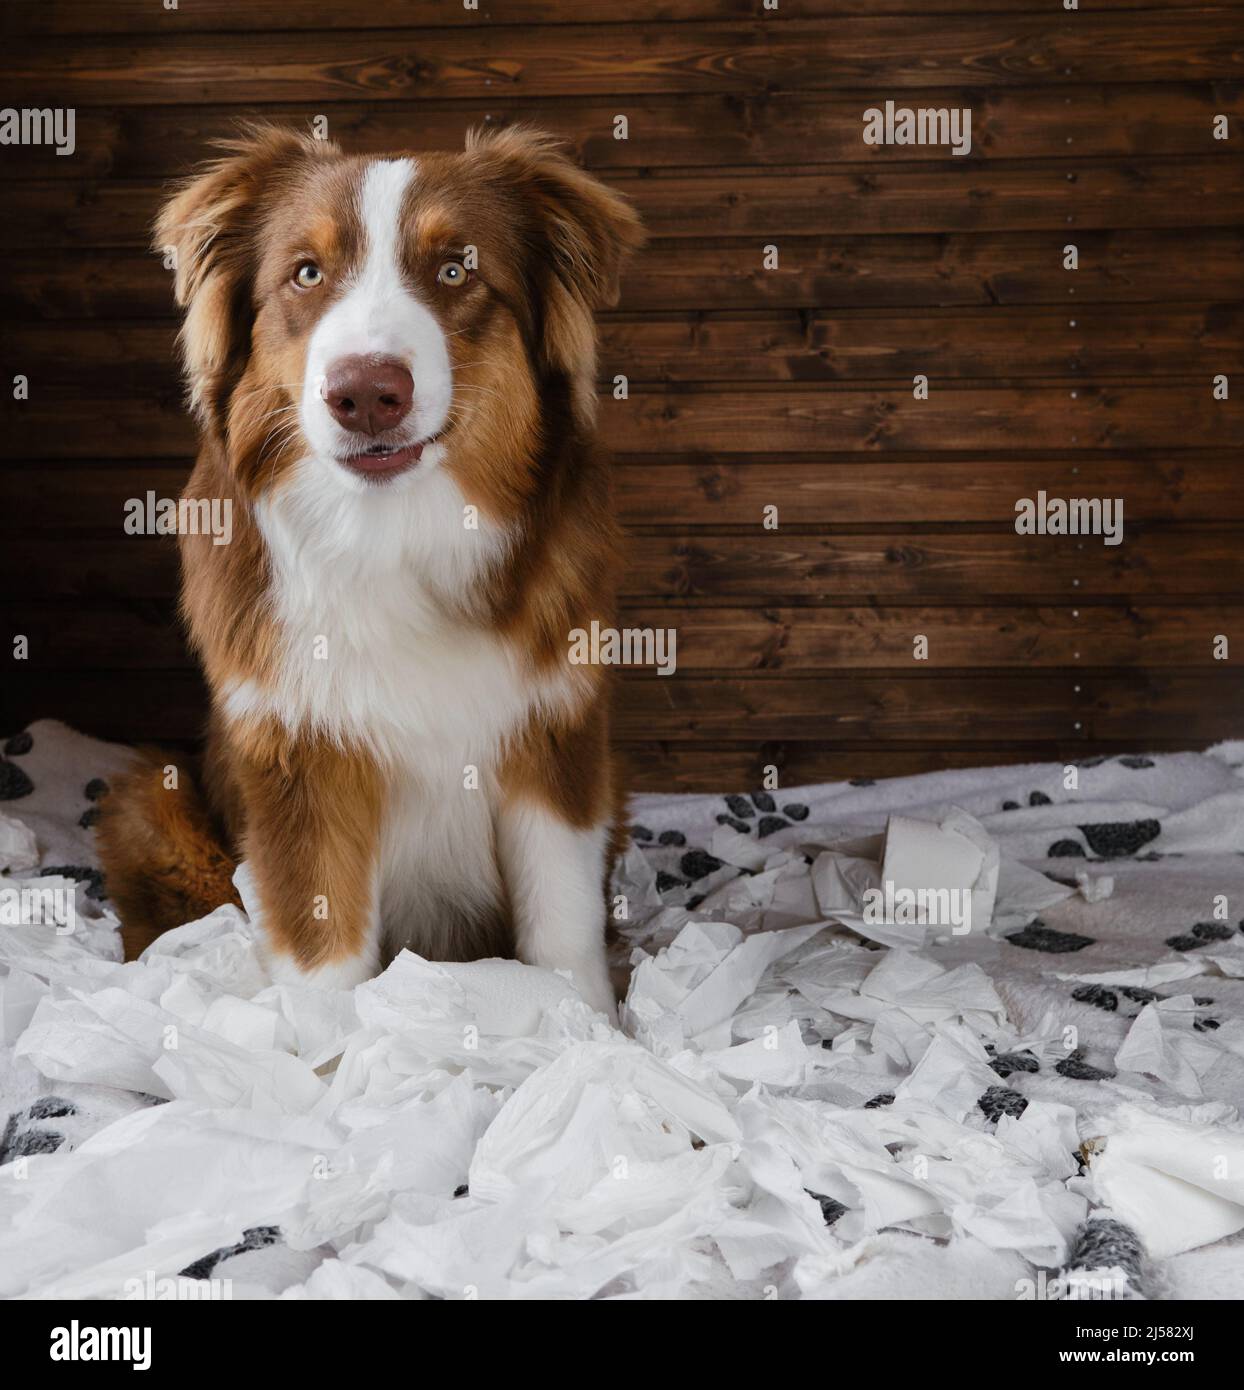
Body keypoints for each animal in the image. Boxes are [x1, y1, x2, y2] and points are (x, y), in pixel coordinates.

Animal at [94, 125, 642, 1017]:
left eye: (456, 269)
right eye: (306, 273)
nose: (365, 392)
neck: (394, 535)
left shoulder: (556, 734)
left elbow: (561, 924)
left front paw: (585, 1033)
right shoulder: (300, 756)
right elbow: (322, 950)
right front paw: (326, 1053)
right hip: (153, 797)